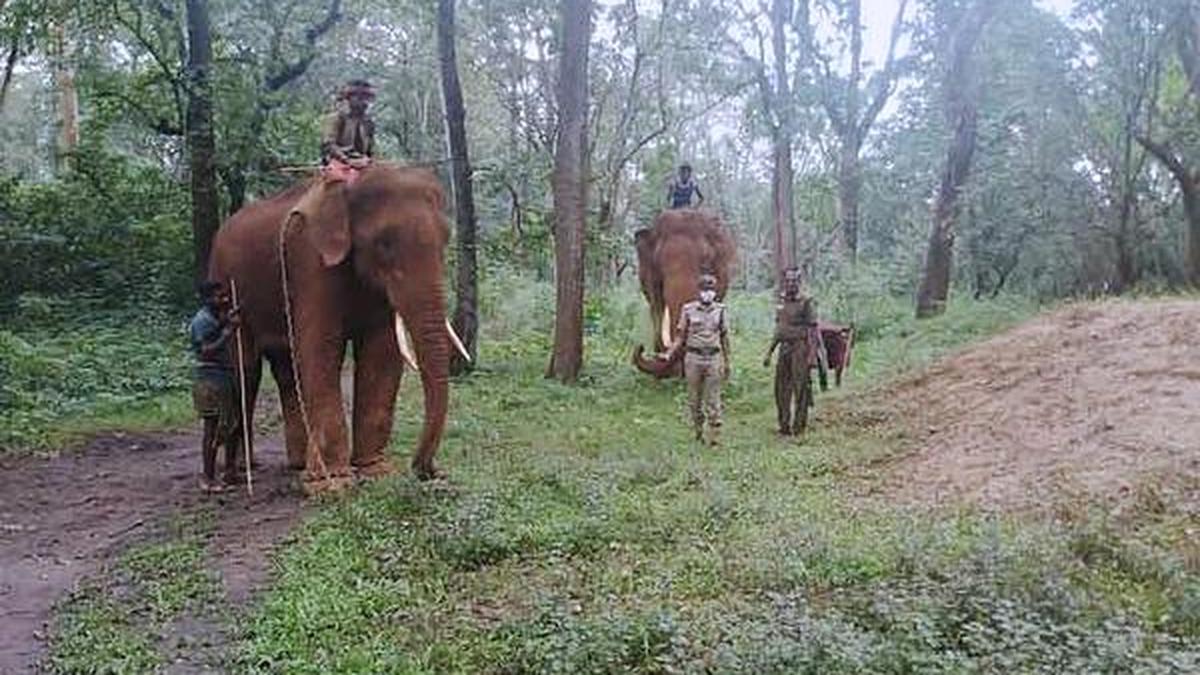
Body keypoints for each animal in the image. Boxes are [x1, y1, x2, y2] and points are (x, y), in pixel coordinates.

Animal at [208, 166, 467, 494]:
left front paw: (376, 472)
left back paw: (297, 465)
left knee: (285, 371)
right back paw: (247, 469)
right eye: (384, 243)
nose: (430, 472)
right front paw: (333, 485)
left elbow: (382, 352)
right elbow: (321, 348)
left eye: (446, 240)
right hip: (227, 292)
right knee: (247, 371)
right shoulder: (309, 261)